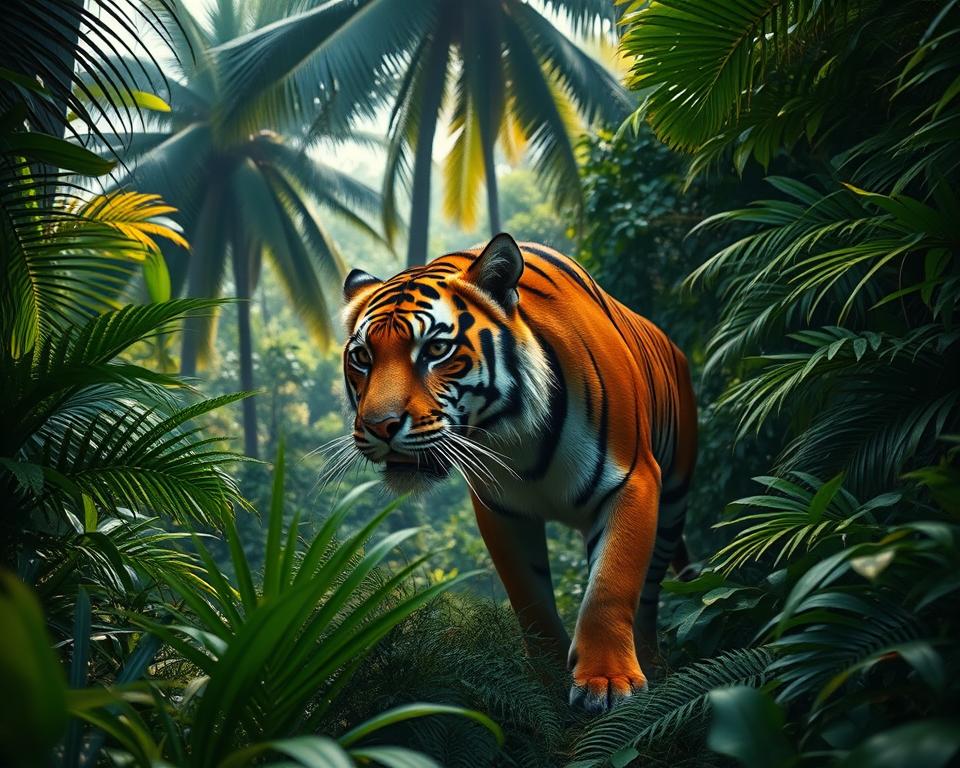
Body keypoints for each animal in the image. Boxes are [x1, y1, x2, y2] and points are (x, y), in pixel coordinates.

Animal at [340, 233, 697, 712]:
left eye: (435, 350)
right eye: (362, 357)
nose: (380, 425)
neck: (516, 435)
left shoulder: (633, 480)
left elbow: (610, 586)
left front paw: (607, 682)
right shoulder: (501, 508)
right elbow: (530, 599)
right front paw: (546, 681)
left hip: (673, 500)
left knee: (650, 593)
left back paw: (652, 663)